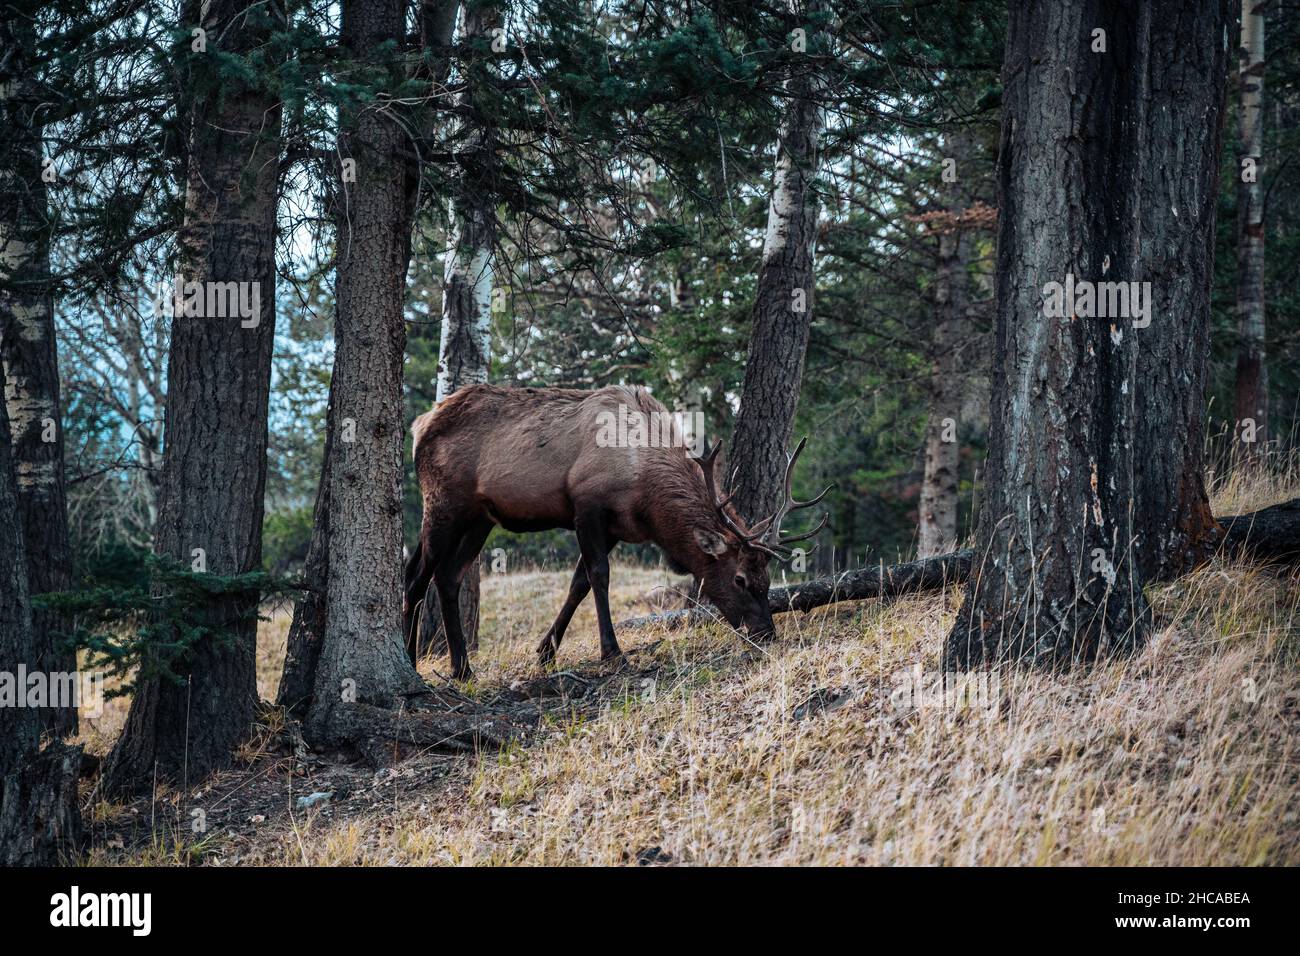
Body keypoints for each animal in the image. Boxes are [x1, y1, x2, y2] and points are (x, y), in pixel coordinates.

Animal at [403, 384, 829, 681]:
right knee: (416, 574)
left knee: (448, 575)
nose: (766, 632)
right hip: (442, 500)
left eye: (767, 576)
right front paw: (612, 651)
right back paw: (410, 659)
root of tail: (418, 425)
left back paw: (462, 668)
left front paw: (545, 652)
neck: (645, 493)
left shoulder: (615, 528)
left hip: (480, 517)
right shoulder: (586, 505)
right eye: (740, 579)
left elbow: (578, 583)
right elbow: (599, 575)